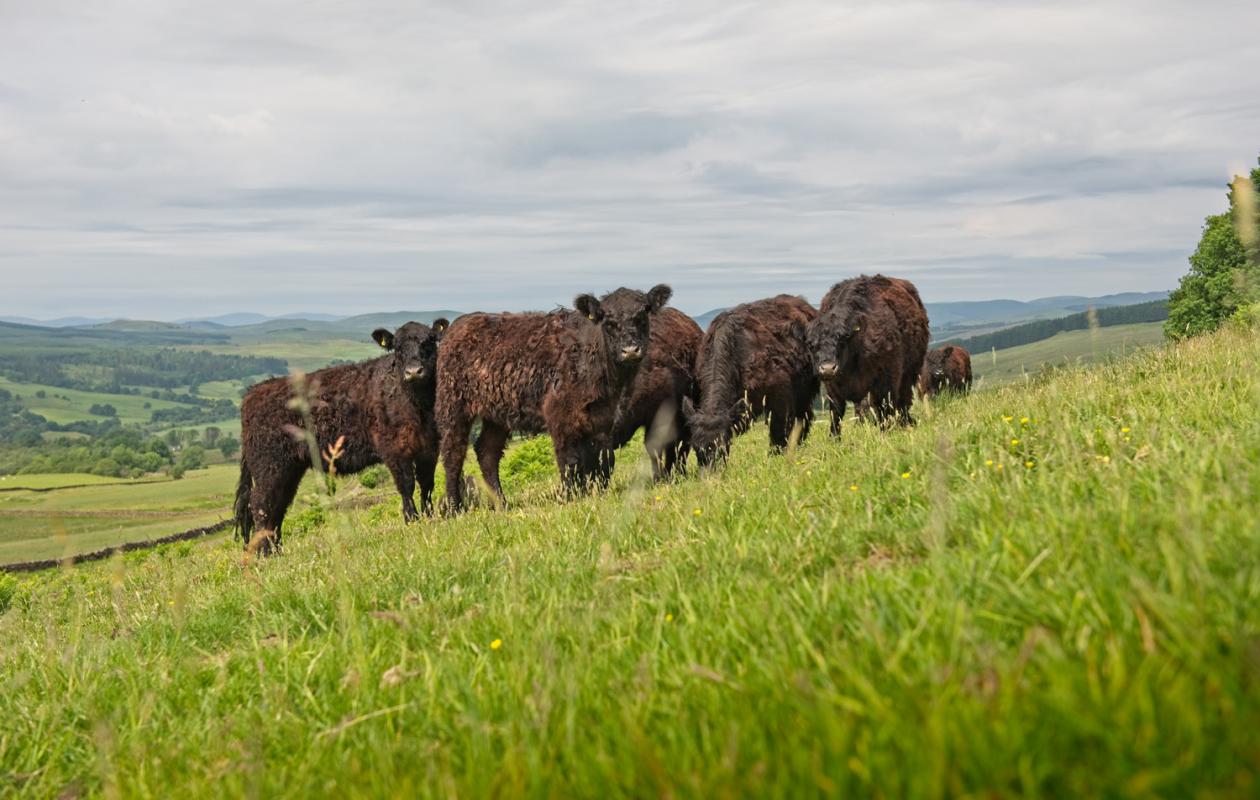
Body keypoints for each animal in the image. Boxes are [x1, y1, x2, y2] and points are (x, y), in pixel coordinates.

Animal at [233, 319, 448, 553]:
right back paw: (264, 551)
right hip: (269, 466)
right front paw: (412, 521)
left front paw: (429, 518)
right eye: (397, 348)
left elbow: (427, 484)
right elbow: (406, 486)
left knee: (278, 505)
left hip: (289, 469)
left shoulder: (429, 447)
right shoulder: (394, 450)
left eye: (429, 341)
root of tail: (253, 392)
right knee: (260, 504)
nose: (414, 371)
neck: (417, 405)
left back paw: (276, 550)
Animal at [435, 285, 672, 511]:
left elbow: (603, 458)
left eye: (643, 314)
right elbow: (570, 461)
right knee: (453, 454)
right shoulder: (560, 415)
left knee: (487, 452)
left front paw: (597, 493)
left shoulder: (602, 416)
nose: (630, 350)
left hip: (496, 413)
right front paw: (571, 497)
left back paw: (501, 504)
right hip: (453, 405)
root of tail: (460, 323)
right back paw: (455, 507)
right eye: (608, 319)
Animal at [682, 295, 819, 466]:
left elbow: (779, 430)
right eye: (696, 449)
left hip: (805, 393)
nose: (709, 472)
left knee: (803, 418)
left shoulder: (780, 395)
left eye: (721, 445)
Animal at [806, 275, 929, 436]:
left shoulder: (886, 379)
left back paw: (906, 422)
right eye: (810, 344)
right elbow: (836, 414)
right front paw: (834, 438)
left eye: (843, 338)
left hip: (910, 372)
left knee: (903, 399)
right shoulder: (833, 388)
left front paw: (886, 433)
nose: (827, 368)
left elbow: (884, 407)